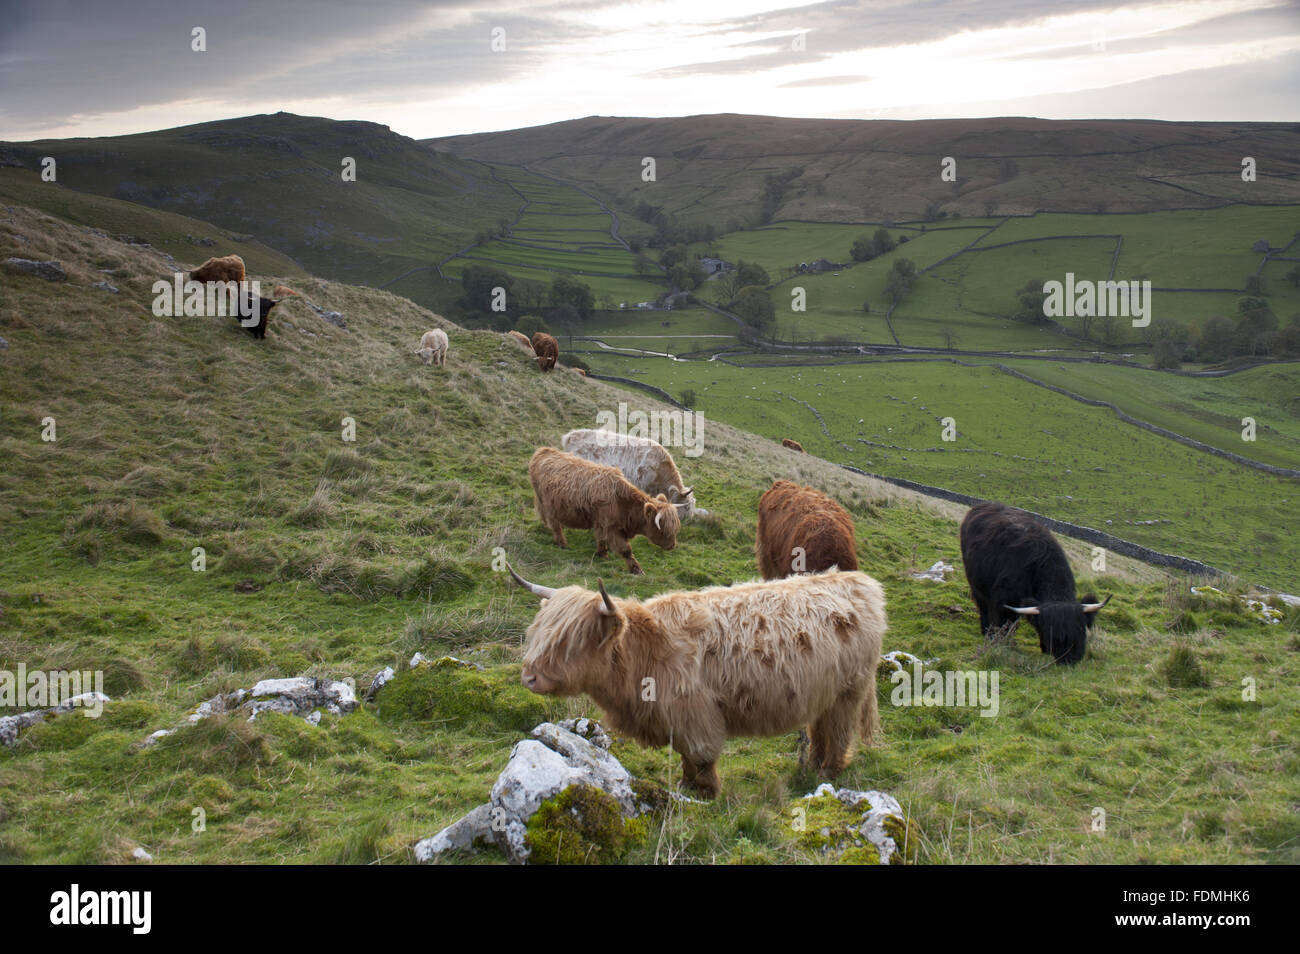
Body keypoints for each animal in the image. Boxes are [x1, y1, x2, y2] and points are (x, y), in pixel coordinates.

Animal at [508, 564, 886, 797]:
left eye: (568, 641)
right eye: (538, 632)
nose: (529, 677)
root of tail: (858, 582)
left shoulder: (695, 714)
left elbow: (700, 755)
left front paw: (705, 793)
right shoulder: (675, 718)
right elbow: (686, 757)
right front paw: (687, 785)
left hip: (849, 692)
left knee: (840, 731)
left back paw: (827, 772)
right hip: (825, 694)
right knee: (821, 729)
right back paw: (813, 767)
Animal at [528, 446, 683, 574]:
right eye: (663, 530)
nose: (672, 545)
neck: (623, 504)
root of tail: (544, 451)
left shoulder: (601, 524)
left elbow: (601, 539)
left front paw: (602, 554)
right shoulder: (610, 526)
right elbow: (626, 550)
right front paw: (636, 569)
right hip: (549, 506)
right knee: (555, 526)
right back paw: (563, 544)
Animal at [959, 501, 1108, 665]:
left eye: (1081, 631)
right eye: (1052, 634)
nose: (1069, 660)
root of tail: (984, 505)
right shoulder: (1004, 600)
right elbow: (1005, 623)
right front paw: (1001, 642)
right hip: (975, 583)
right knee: (983, 606)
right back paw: (986, 630)